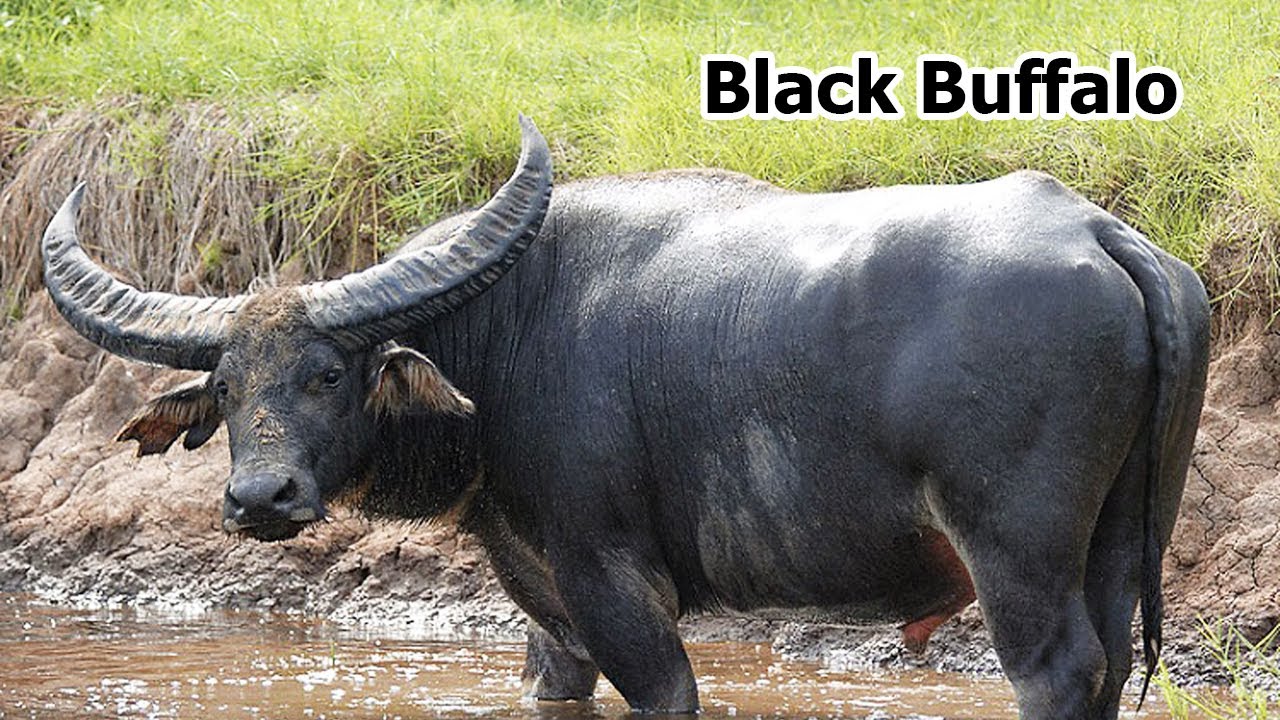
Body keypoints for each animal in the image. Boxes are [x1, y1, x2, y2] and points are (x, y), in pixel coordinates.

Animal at [41, 116, 1209, 719]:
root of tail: (1102, 235)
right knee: (1111, 664)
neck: (507, 335)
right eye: (228, 386)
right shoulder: (543, 594)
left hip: (1014, 550)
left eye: (329, 372)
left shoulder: (616, 583)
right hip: (1122, 538)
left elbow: (661, 688)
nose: (259, 497)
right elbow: (553, 682)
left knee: (1055, 672)